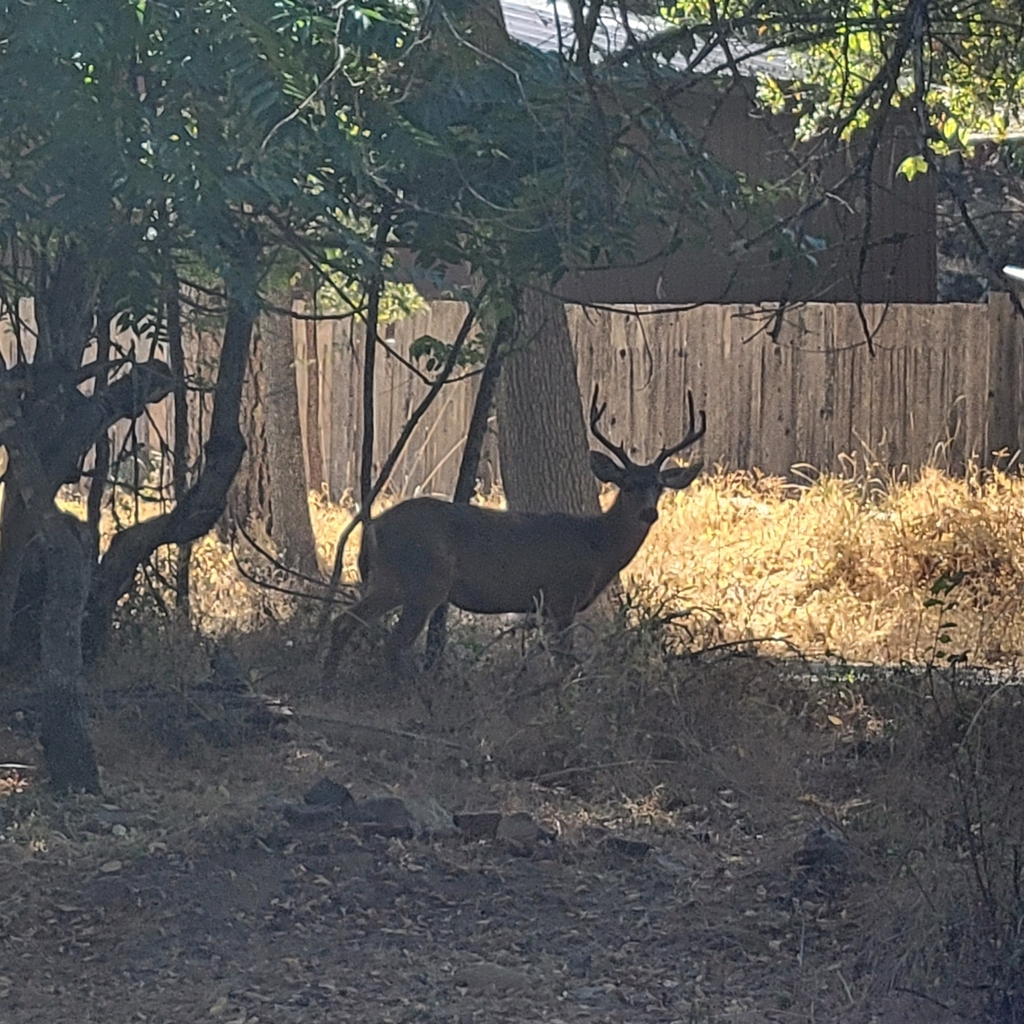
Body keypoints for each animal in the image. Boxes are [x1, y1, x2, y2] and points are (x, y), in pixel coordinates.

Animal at [325, 385, 706, 674]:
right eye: (627, 485)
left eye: (658, 486)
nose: (648, 513)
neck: (597, 546)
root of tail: (373, 527)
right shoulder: (561, 596)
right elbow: (564, 662)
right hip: (425, 580)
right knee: (393, 641)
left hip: (389, 579)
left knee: (344, 621)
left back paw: (330, 678)